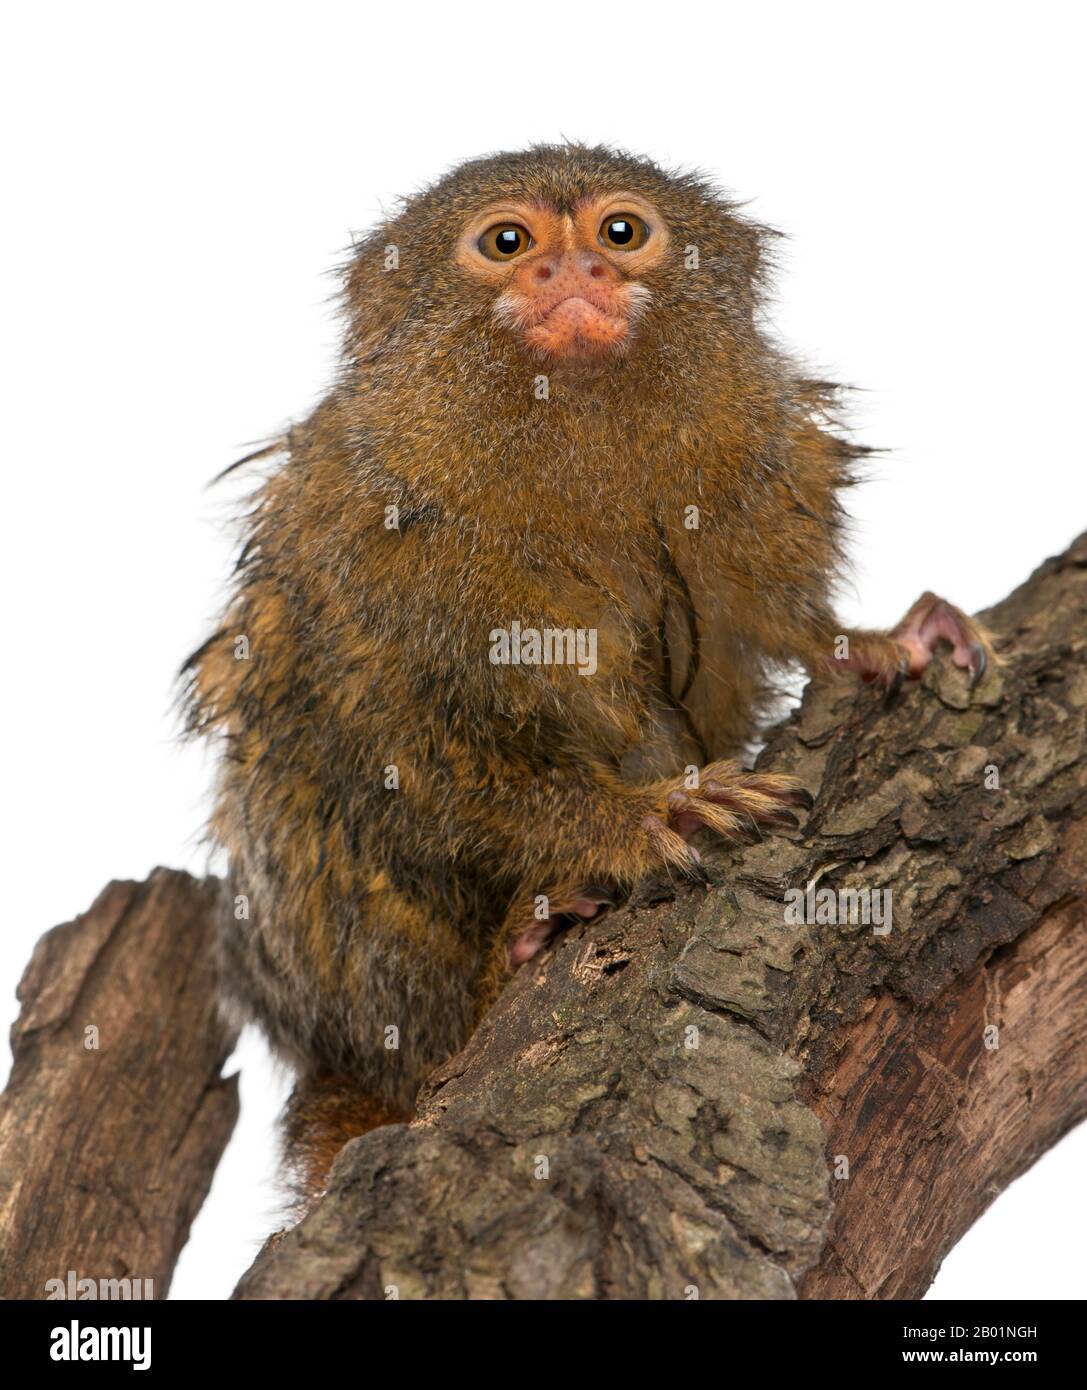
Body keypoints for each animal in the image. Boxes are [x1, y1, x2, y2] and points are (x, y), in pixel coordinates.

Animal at [182, 143, 991, 1204]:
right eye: (506, 241)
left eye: (621, 231)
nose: (574, 272)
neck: (572, 435)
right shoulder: (364, 538)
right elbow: (410, 758)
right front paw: (641, 820)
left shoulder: (755, 469)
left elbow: (772, 621)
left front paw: (871, 644)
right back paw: (503, 963)